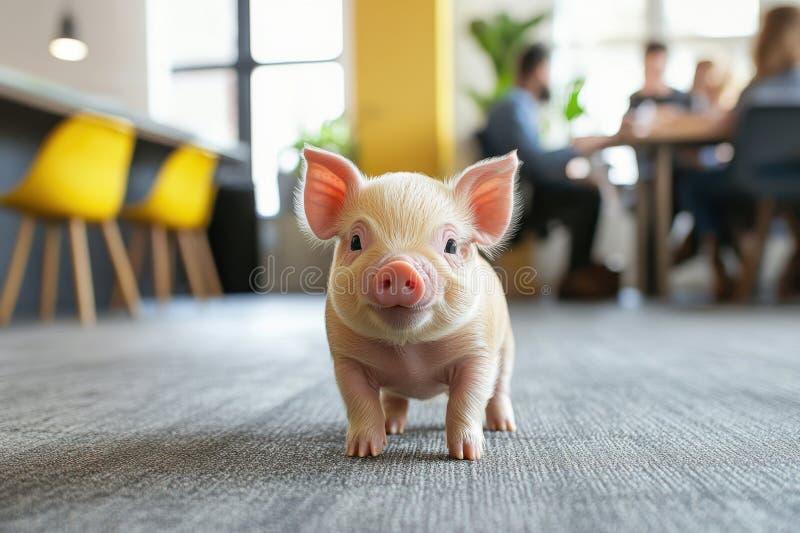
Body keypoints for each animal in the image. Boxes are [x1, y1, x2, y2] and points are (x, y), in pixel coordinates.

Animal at [296, 146, 519, 460]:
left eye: (451, 245)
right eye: (355, 241)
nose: (399, 267)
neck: (409, 351)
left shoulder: (478, 352)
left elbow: (467, 399)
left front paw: (467, 455)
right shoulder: (345, 357)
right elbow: (359, 401)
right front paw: (362, 452)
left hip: (508, 344)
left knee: (500, 388)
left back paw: (503, 426)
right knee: (393, 398)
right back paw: (392, 428)